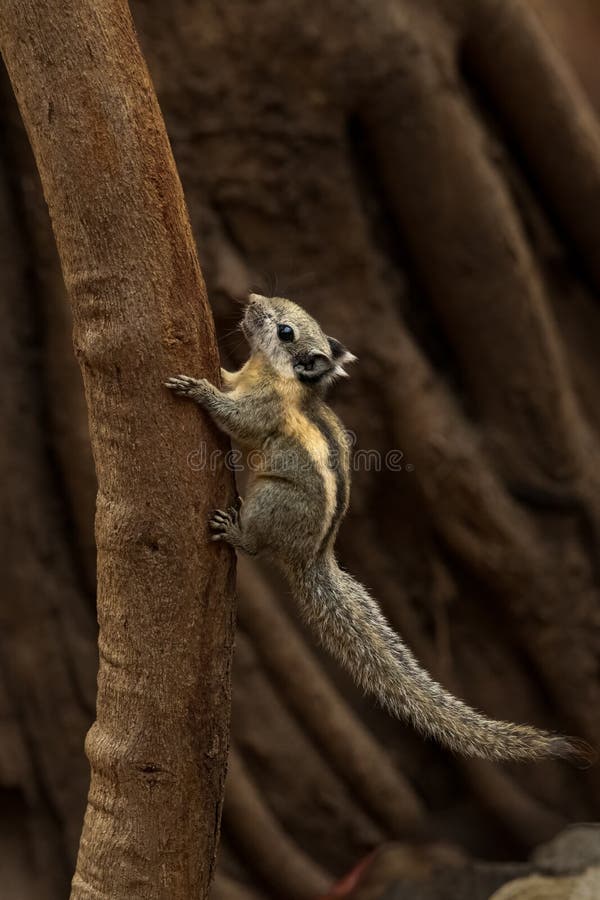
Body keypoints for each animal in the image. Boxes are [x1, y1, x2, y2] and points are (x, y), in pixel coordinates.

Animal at [166, 293, 593, 764]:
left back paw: (236, 532)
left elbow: (235, 416)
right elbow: (230, 380)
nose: (252, 299)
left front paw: (199, 390)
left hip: (272, 501)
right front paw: (218, 373)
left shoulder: (262, 409)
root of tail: (311, 557)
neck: (274, 374)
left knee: (257, 544)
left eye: (285, 332)